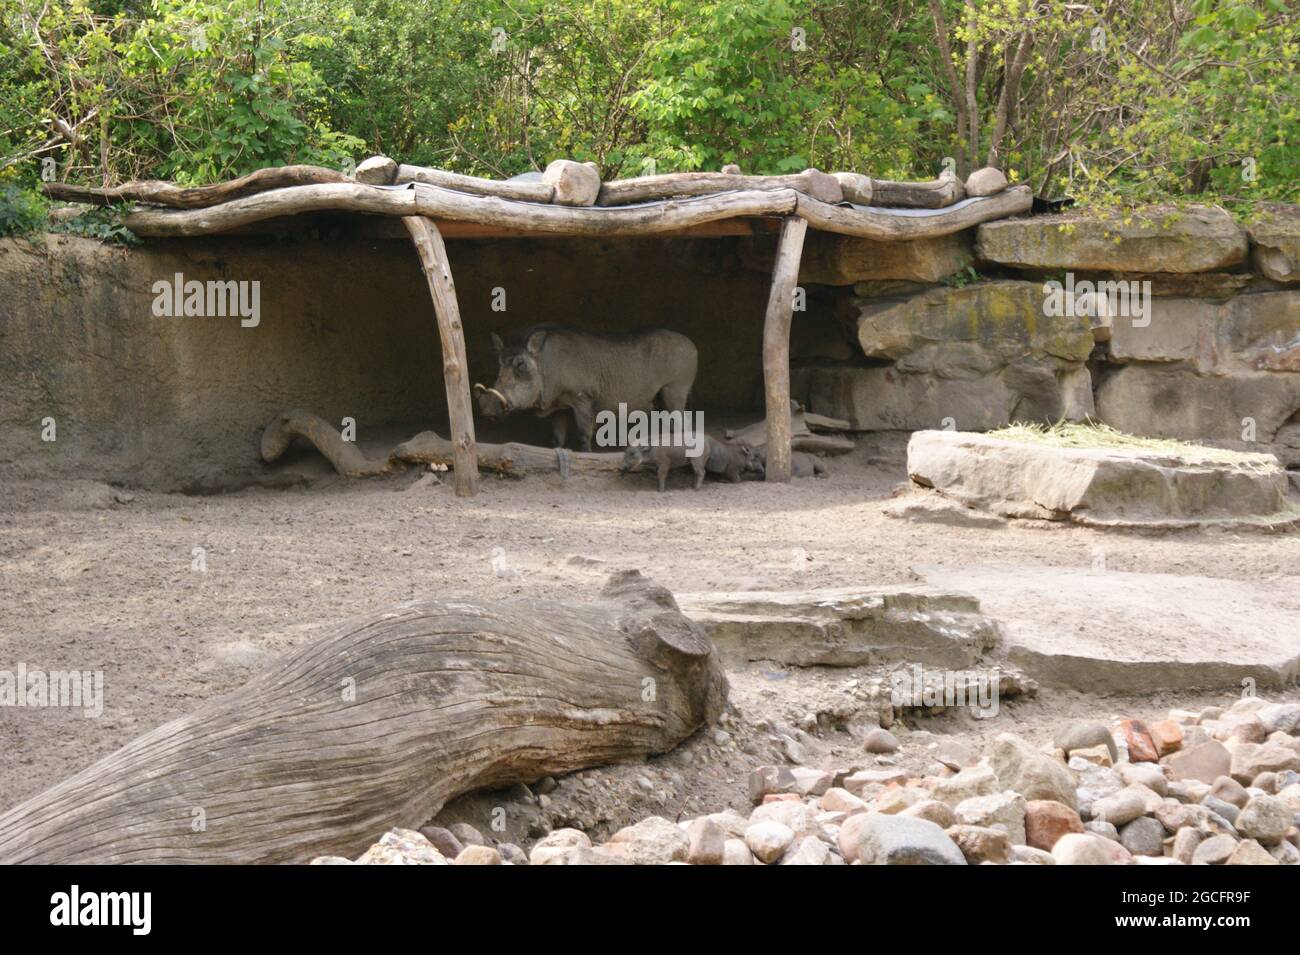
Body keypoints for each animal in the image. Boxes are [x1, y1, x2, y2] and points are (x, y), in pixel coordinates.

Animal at [475, 325, 698, 451]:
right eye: (499, 363)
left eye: (521, 365)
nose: (487, 409)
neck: (546, 365)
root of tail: (693, 345)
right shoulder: (560, 408)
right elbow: (557, 439)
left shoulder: (582, 399)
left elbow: (584, 435)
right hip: (661, 398)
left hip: (675, 391)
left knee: (683, 424)